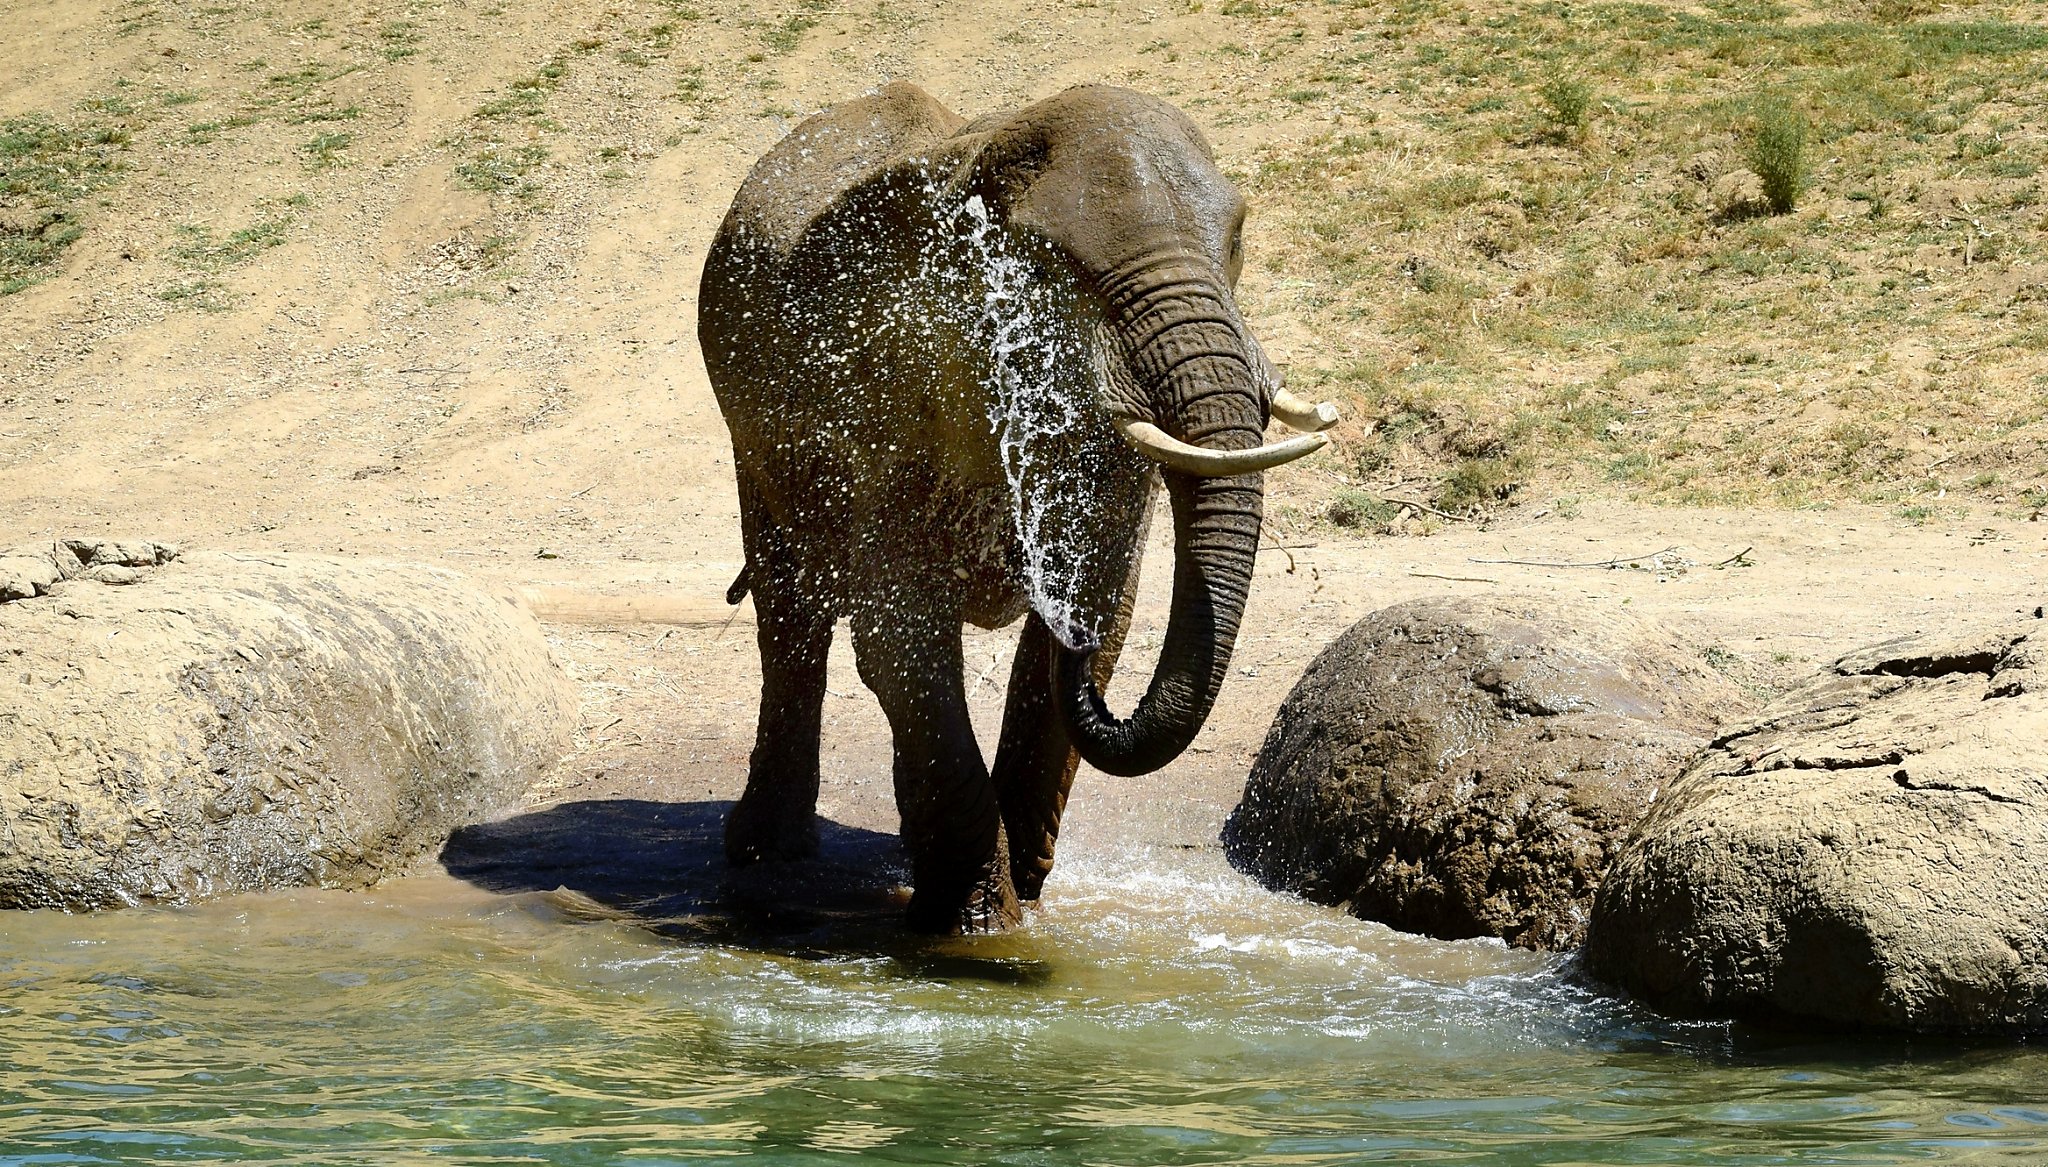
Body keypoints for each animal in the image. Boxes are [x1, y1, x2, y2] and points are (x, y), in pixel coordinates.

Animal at [697, 82, 1337, 934]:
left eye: (1235, 239)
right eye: (1050, 267)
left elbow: (1102, 613)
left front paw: (1022, 898)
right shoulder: (882, 395)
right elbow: (901, 638)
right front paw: (978, 927)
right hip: (751, 427)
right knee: (788, 611)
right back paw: (768, 853)